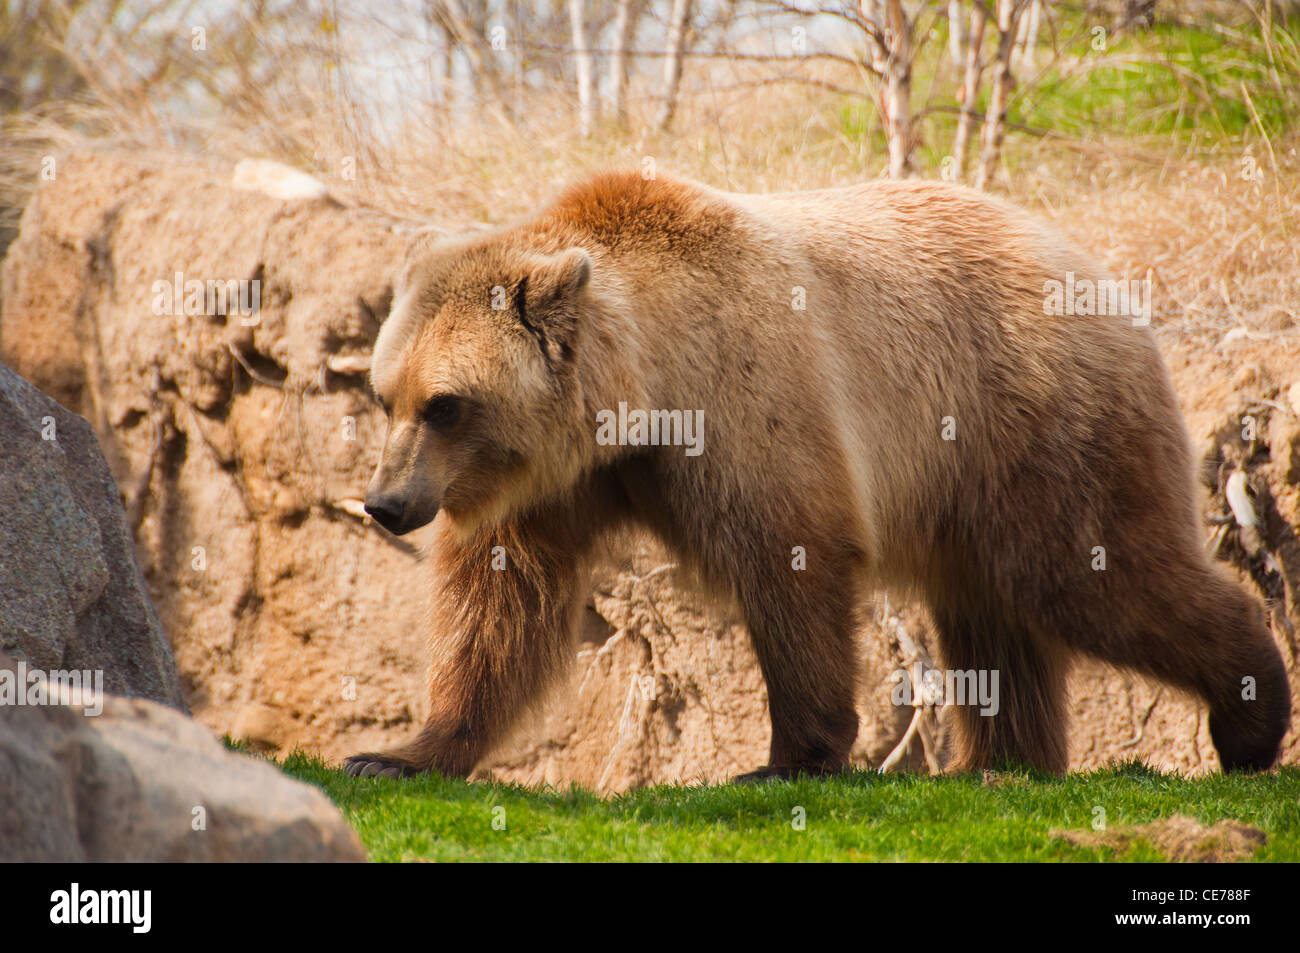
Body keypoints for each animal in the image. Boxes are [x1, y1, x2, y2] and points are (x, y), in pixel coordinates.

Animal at [345, 169, 1291, 781]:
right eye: (386, 392)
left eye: (446, 404)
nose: (386, 504)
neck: (642, 389)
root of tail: (1102, 275)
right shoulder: (556, 480)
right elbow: (499, 605)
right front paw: (397, 751)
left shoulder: (751, 401)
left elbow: (791, 560)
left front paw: (789, 758)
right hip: (974, 478)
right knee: (995, 612)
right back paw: (1001, 760)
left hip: (1034, 414)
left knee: (1089, 572)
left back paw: (1250, 714)